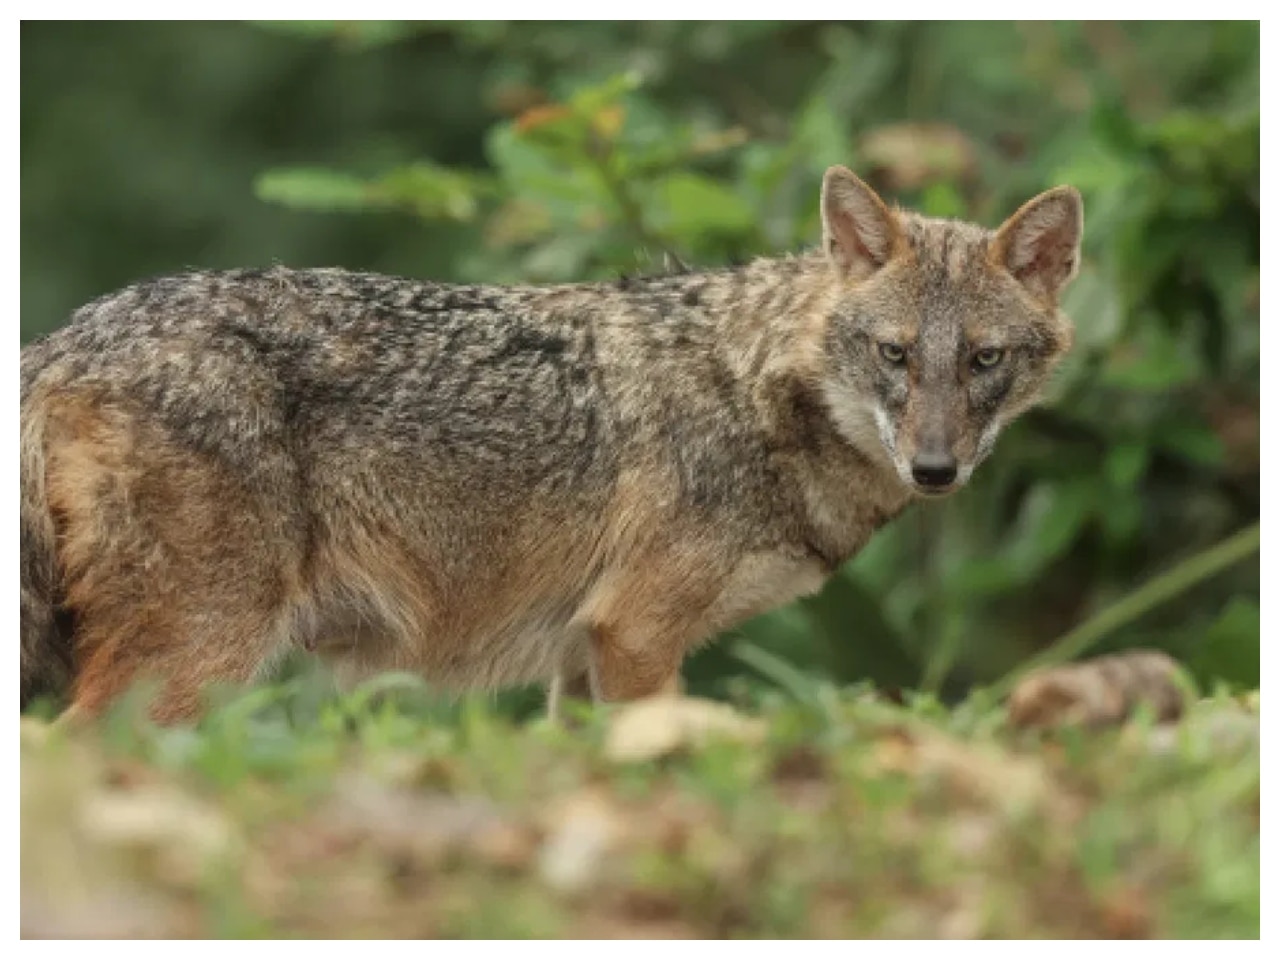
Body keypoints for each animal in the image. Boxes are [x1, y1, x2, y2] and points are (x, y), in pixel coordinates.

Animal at [20, 166, 1082, 722]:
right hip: (196, 662)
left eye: (983, 359)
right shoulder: (636, 634)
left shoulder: (583, 654)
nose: (935, 469)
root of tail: (63, 339)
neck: (754, 390)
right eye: (895, 354)